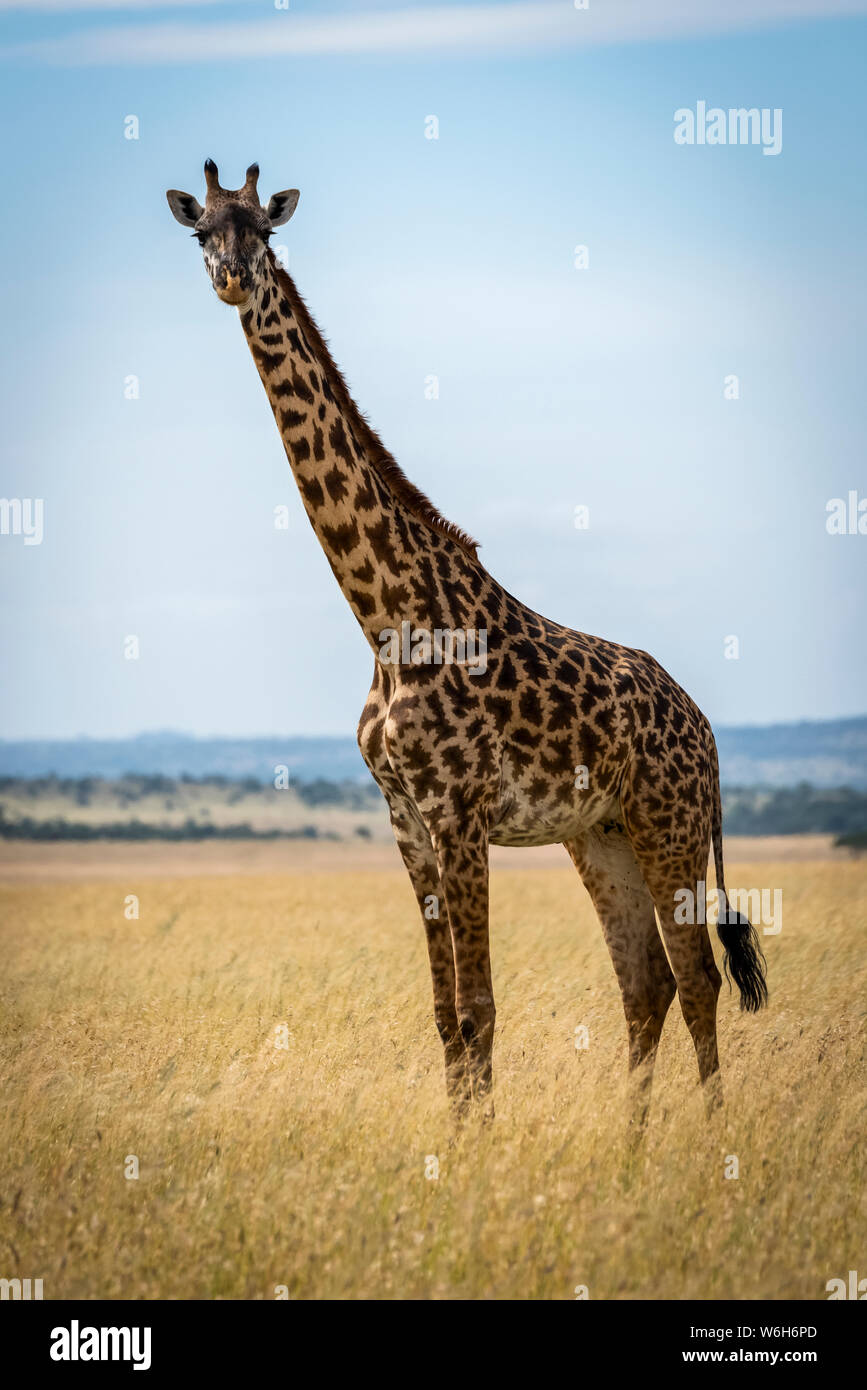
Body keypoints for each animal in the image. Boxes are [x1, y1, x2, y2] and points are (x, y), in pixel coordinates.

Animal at [167, 161, 768, 1126]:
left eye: (264, 229)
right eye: (200, 232)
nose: (231, 278)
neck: (384, 618)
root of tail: (705, 730)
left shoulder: (459, 814)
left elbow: (480, 1007)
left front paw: (476, 1145)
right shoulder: (405, 819)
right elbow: (445, 1014)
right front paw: (457, 1137)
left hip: (668, 825)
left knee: (698, 977)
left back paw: (710, 1137)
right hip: (599, 836)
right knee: (644, 983)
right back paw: (629, 1145)